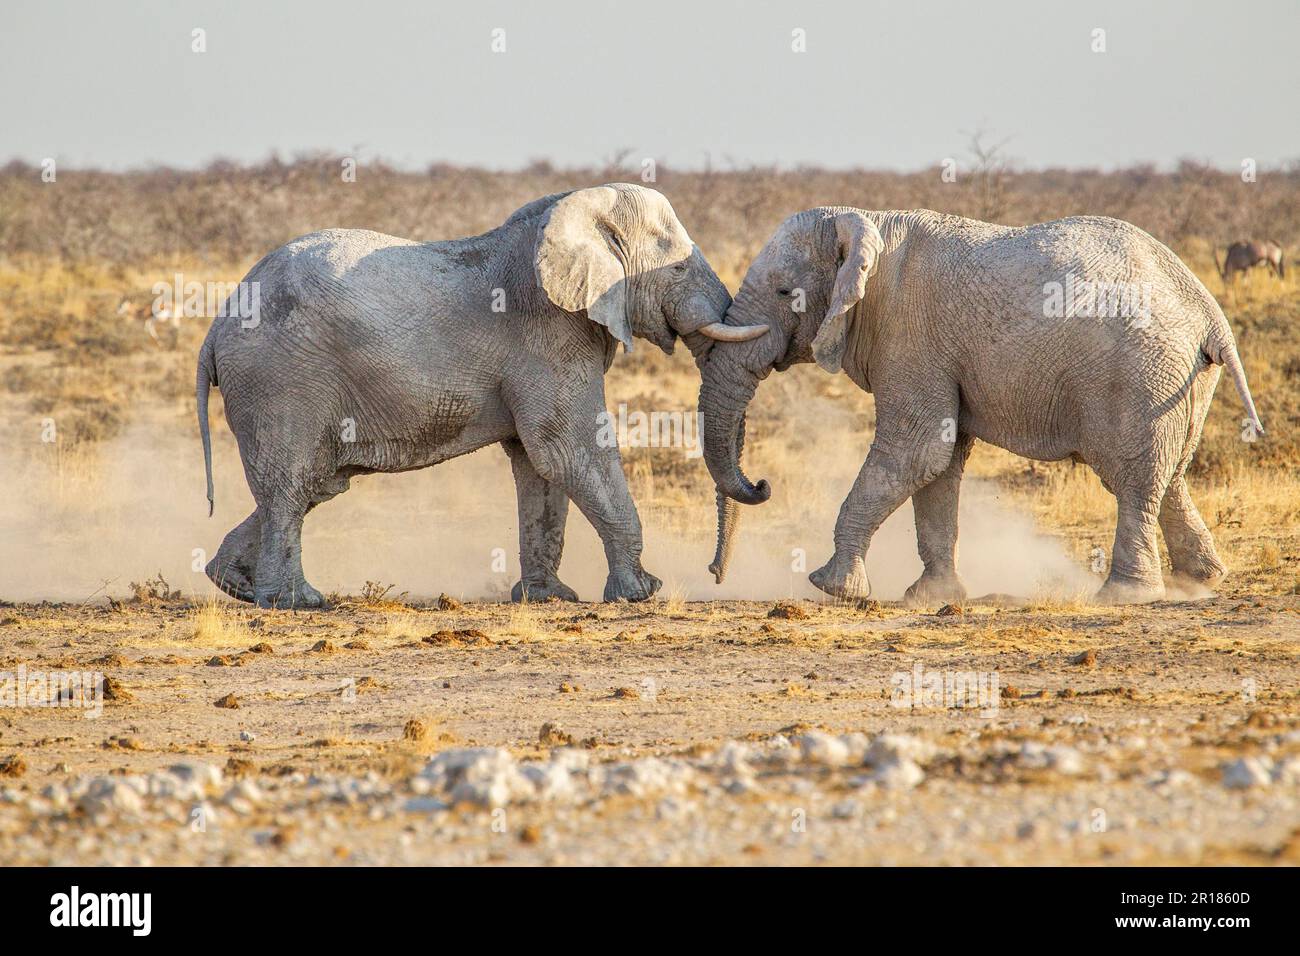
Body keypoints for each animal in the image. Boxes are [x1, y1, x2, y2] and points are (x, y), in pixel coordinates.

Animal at [196, 183, 765, 608]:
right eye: (677, 269)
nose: (761, 485)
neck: (571, 211)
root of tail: (217, 325)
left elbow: (538, 464)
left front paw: (548, 598)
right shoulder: (547, 332)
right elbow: (565, 447)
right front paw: (640, 592)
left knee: (314, 484)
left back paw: (234, 583)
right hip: (281, 380)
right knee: (292, 484)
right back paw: (299, 602)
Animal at [699, 207, 1264, 605]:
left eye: (784, 292)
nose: (763, 484)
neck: (862, 222)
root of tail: (1210, 315)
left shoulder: (910, 333)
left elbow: (916, 452)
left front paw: (831, 586)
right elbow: (940, 462)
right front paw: (930, 598)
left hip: (1141, 374)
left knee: (1132, 476)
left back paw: (1125, 595)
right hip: (1178, 381)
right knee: (1170, 474)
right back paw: (1199, 582)